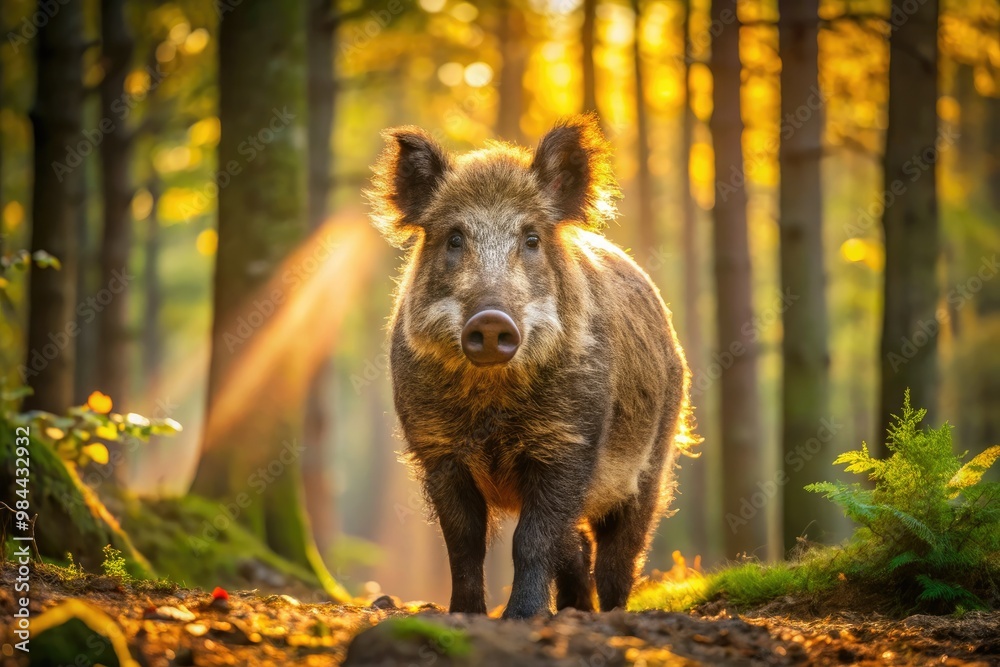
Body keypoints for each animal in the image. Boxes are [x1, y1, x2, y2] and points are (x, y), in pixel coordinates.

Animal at [367, 114, 693, 619]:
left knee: (620, 550)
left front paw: (522, 617)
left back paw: (610, 614)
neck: (493, 401)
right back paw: (576, 610)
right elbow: (464, 542)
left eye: (532, 239)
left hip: (653, 462)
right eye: (455, 238)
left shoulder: (569, 442)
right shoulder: (437, 448)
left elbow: (532, 538)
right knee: (576, 547)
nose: (491, 320)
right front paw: (466, 614)